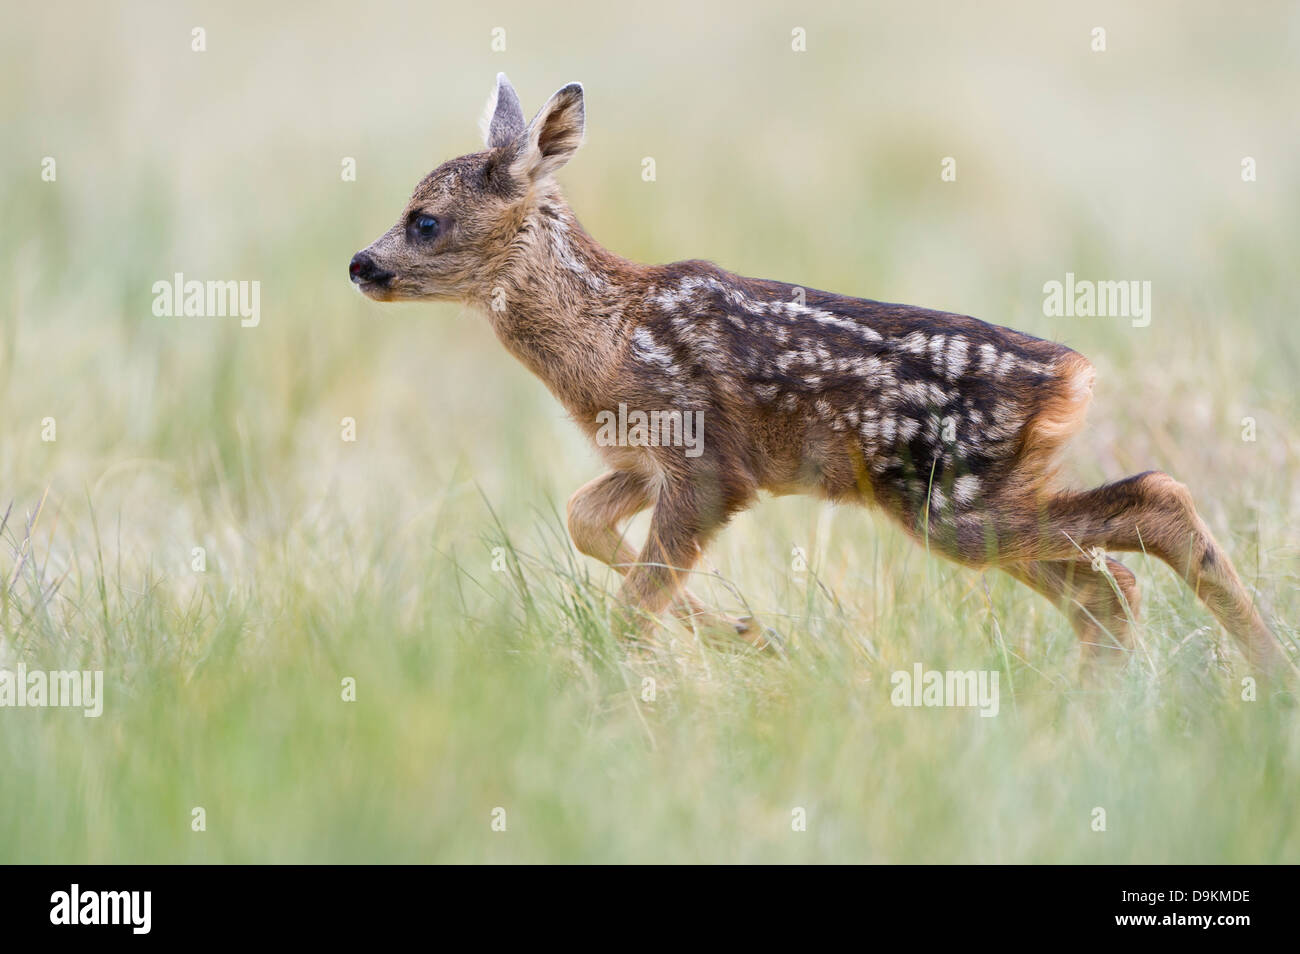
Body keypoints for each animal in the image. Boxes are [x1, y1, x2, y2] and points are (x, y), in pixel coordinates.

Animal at [349, 74, 1294, 682]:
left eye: (425, 220)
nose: (361, 264)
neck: (609, 334)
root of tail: (1073, 375)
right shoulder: (640, 458)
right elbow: (587, 524)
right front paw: (750, 633)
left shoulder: (705, 459)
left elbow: (639, 599)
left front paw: (629, 679)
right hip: (978, 502)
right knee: (1108, 586)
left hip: (950, 500)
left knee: (1149, 510)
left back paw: (1262, 678)